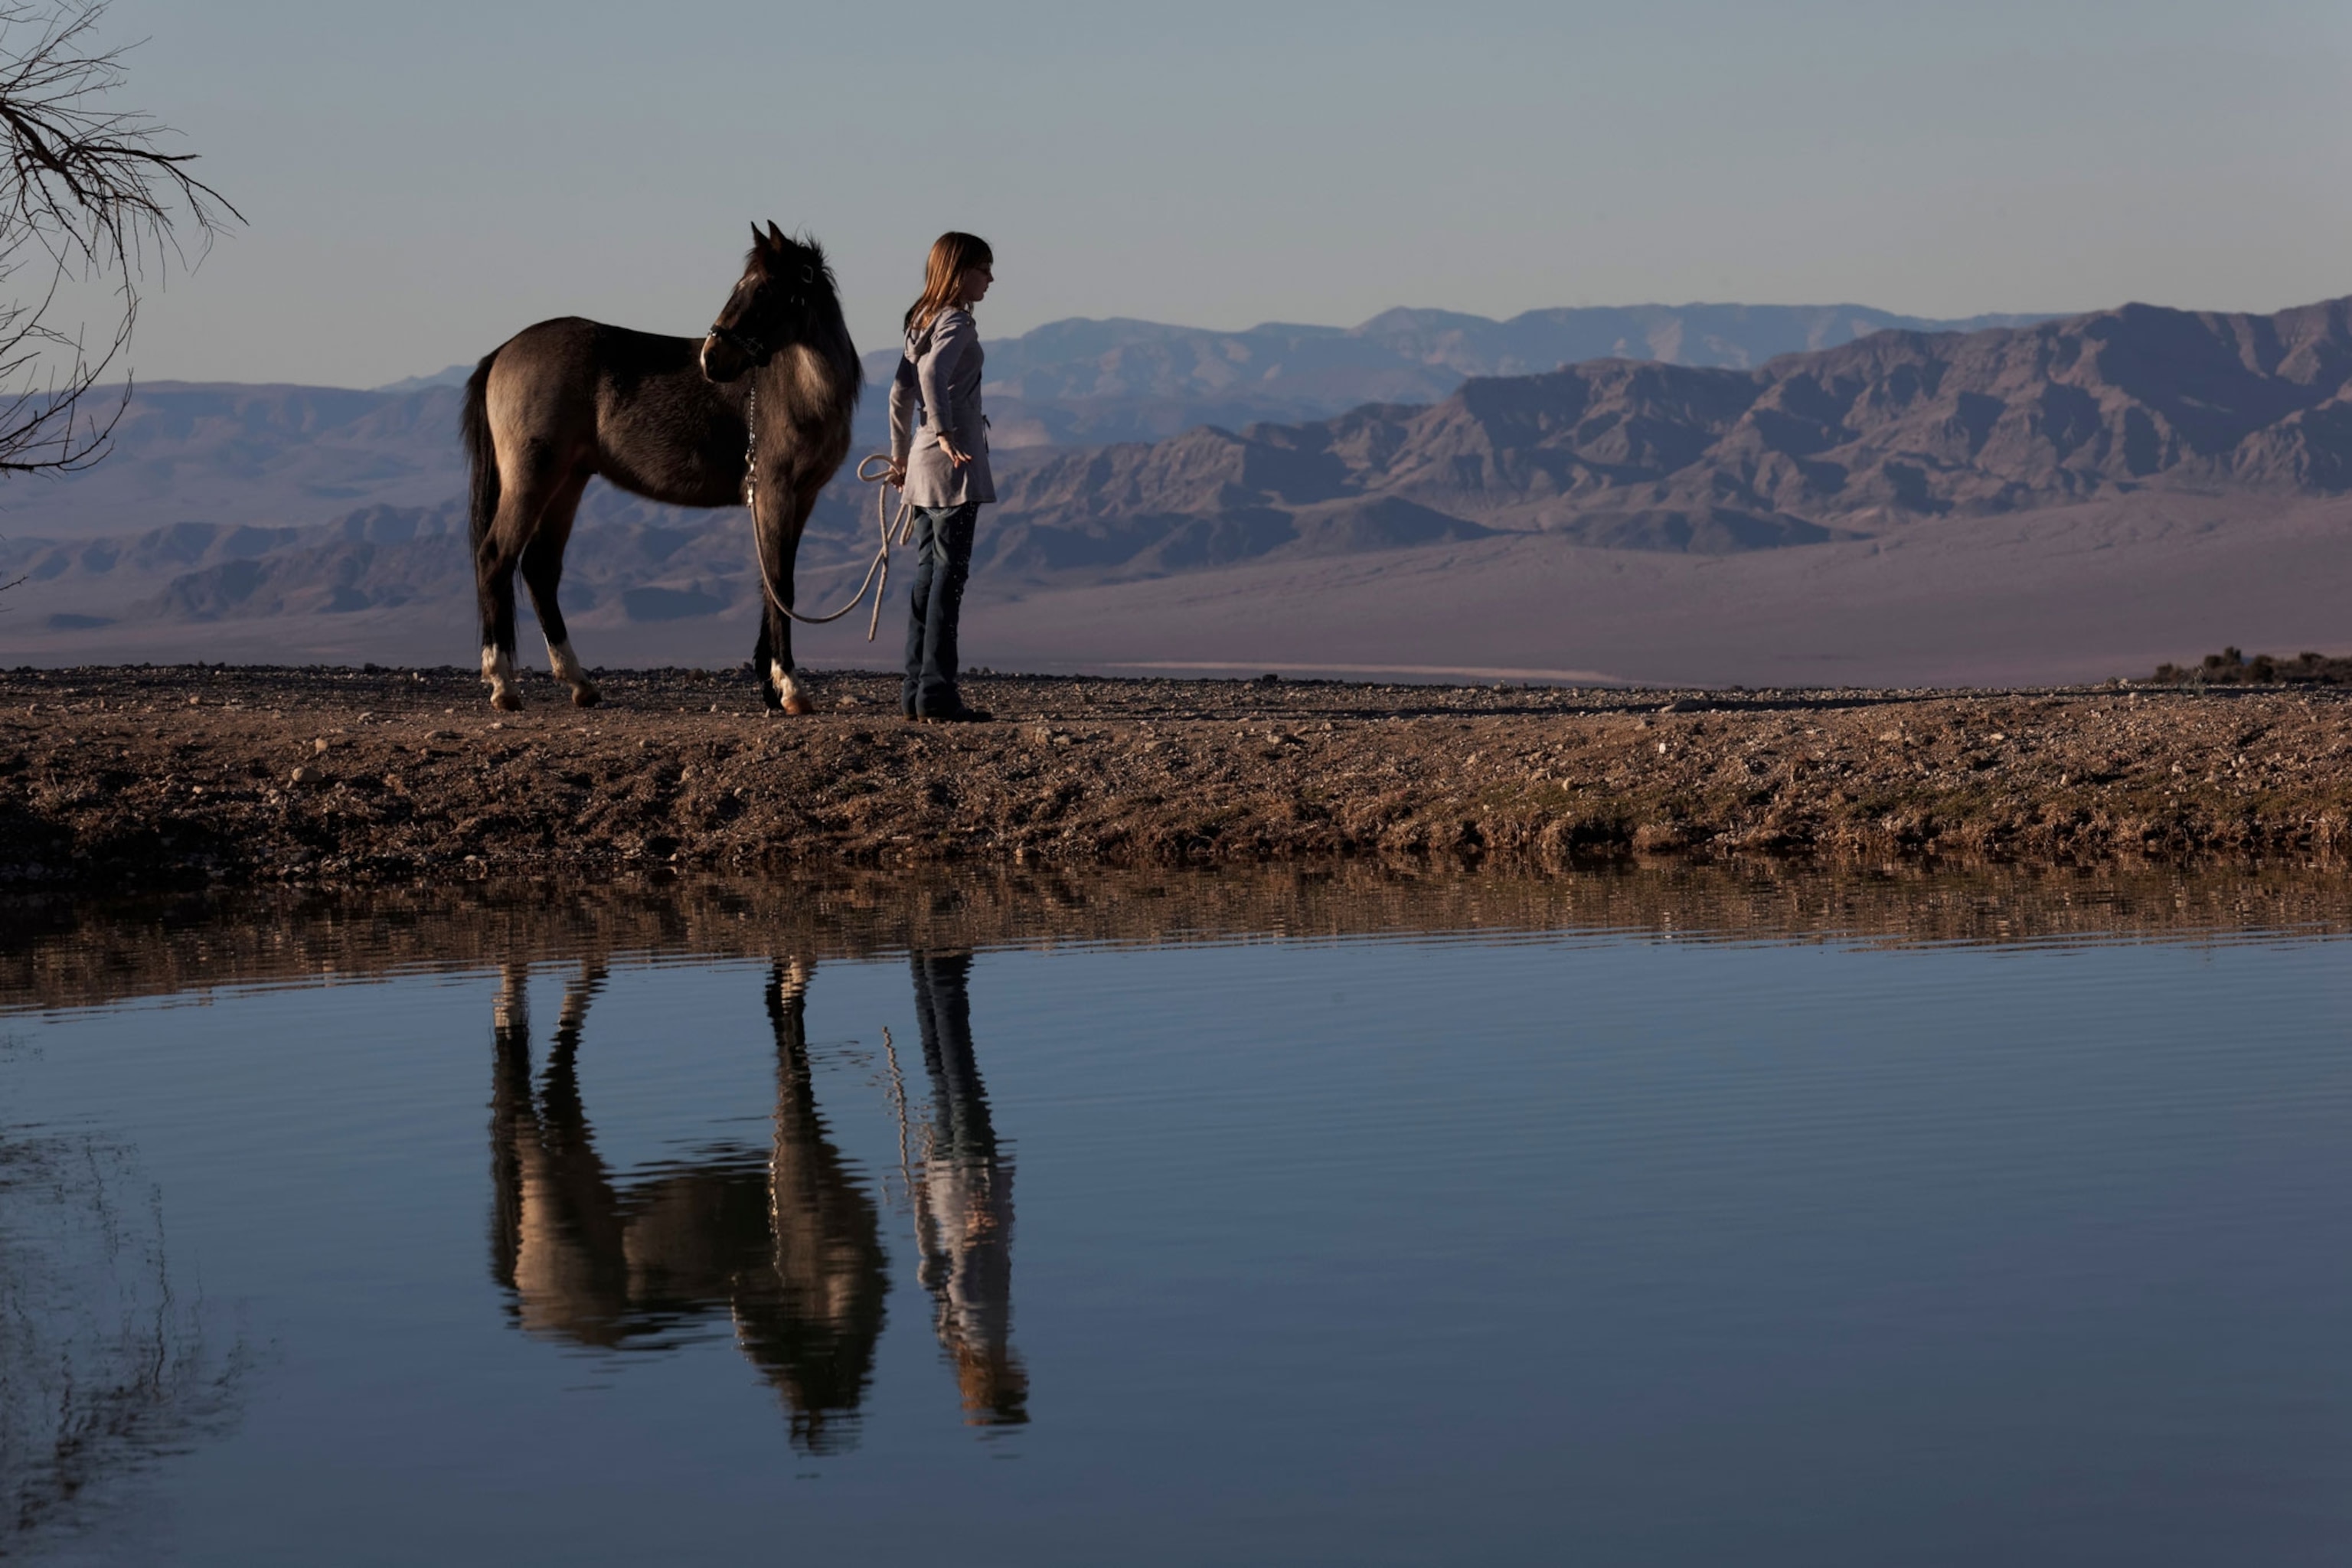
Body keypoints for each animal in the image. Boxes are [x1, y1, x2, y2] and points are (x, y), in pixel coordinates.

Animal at [461, 222, 860, 715]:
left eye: (764, 289)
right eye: (742, 285)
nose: (712, 358)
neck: (799, 388)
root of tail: (502, 352)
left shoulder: (801, 498)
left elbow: (774, 584)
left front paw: (770, 685)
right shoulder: (774, 493)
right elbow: (780, 585)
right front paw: (789, 688)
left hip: (568, 481)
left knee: (539, 567)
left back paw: (580, 684)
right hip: (532, 478)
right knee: (496, 557)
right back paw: (503, 685)